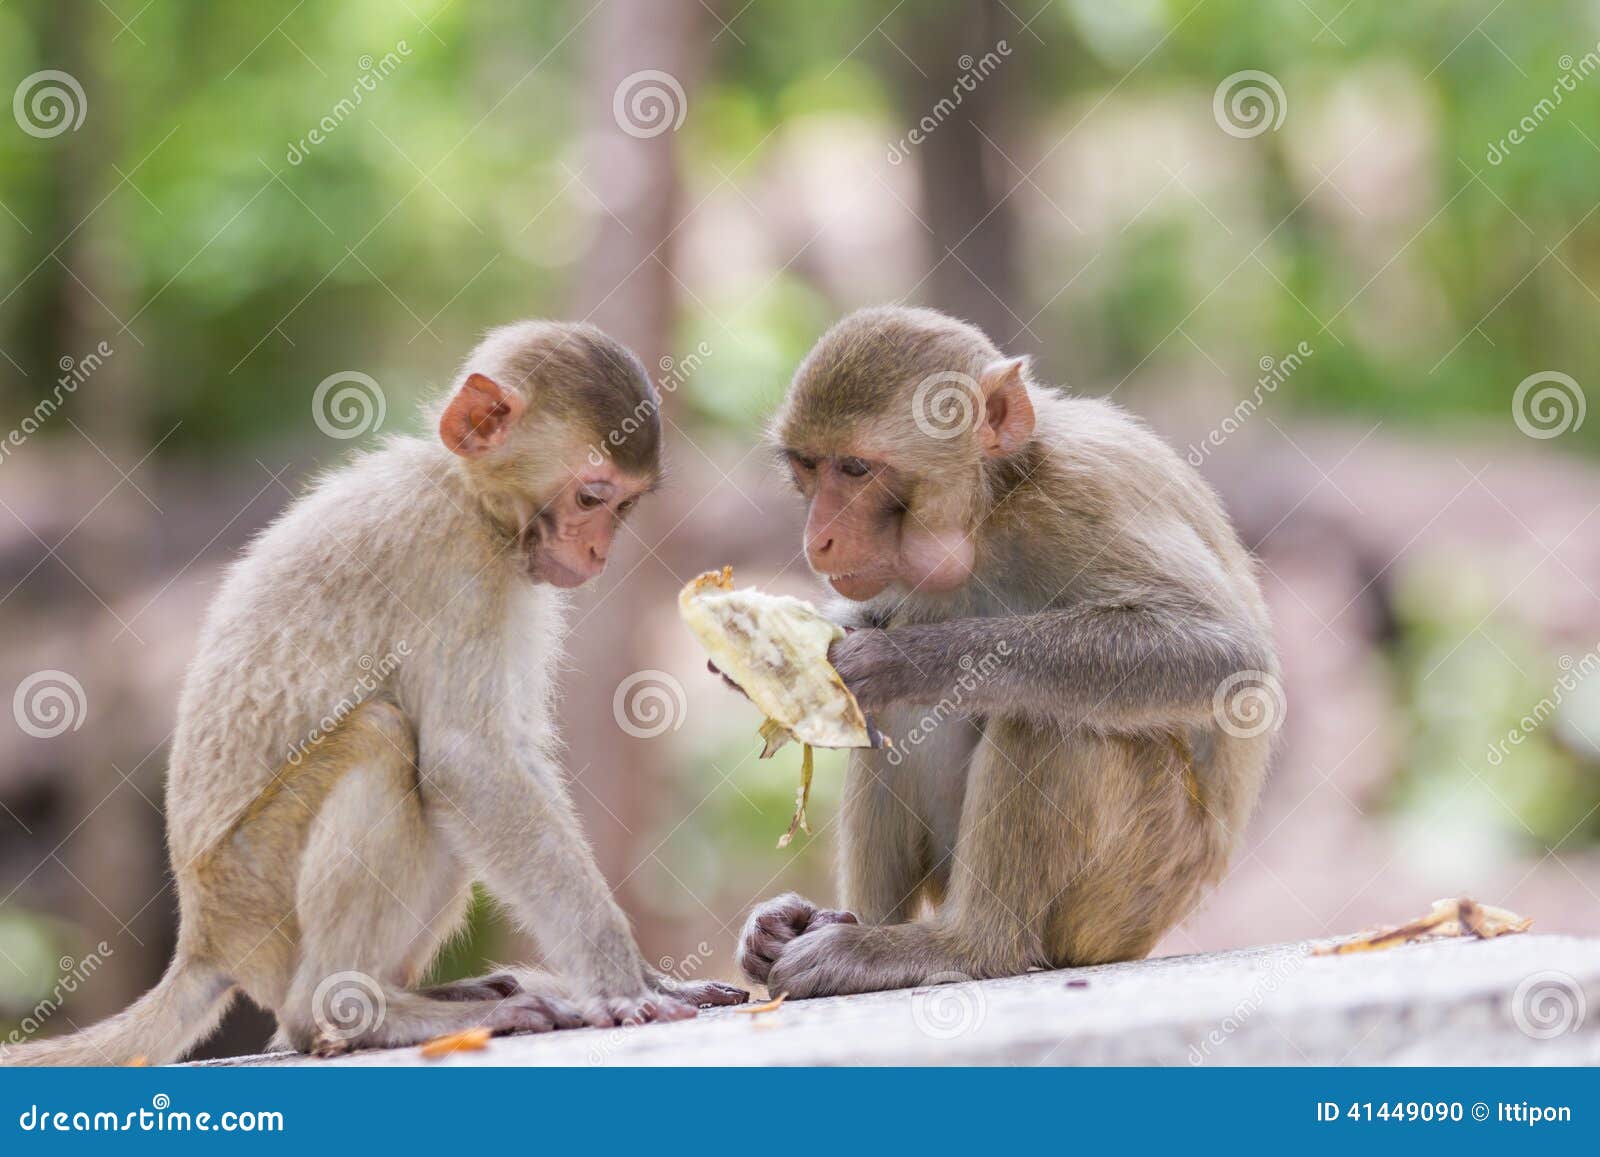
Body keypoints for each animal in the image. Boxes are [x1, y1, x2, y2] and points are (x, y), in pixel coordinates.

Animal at [3, 320, 746, 1066]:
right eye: (591, 498)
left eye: (624, 506)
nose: (597, 552)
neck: (467, 491)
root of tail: (202, 939)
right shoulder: (455, 557)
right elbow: (470, 763)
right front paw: (620, 982)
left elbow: (509, 755)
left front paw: (647, 975)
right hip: (255, 893)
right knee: (383, 738)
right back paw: (356, 1014)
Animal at [735, 305, 1279, 999]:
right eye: (808, 465)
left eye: (855, 469)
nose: (820, 538)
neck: (992, 508)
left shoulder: (1083, 499)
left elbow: (1225, 656)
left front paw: (903, 661)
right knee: (900, 715)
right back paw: (838, 926)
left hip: (1133, 891)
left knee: (1050, 716)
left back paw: (957, 947)